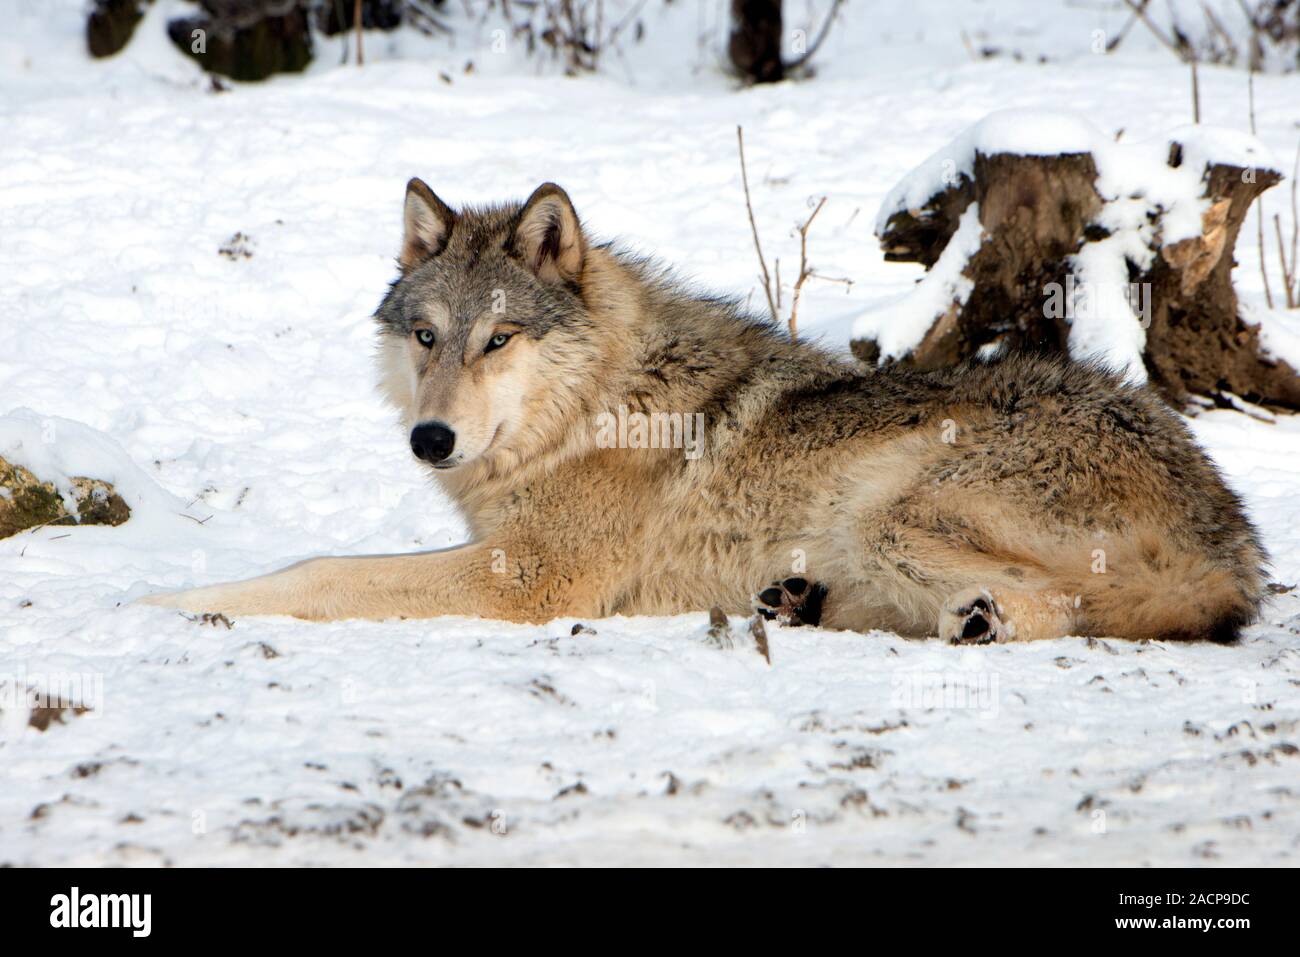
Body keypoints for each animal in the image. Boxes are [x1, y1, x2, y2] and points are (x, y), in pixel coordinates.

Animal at [141, 179, 1267, 643]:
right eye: (427, 337)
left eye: (498, 340)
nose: (431, 437)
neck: (596, 403)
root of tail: (1235, 538)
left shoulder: (527, 579)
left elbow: (318, 569)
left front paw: (176, 599)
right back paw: (802, 603)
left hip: (891, 506)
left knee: (1061, 610)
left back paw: (969, 621)